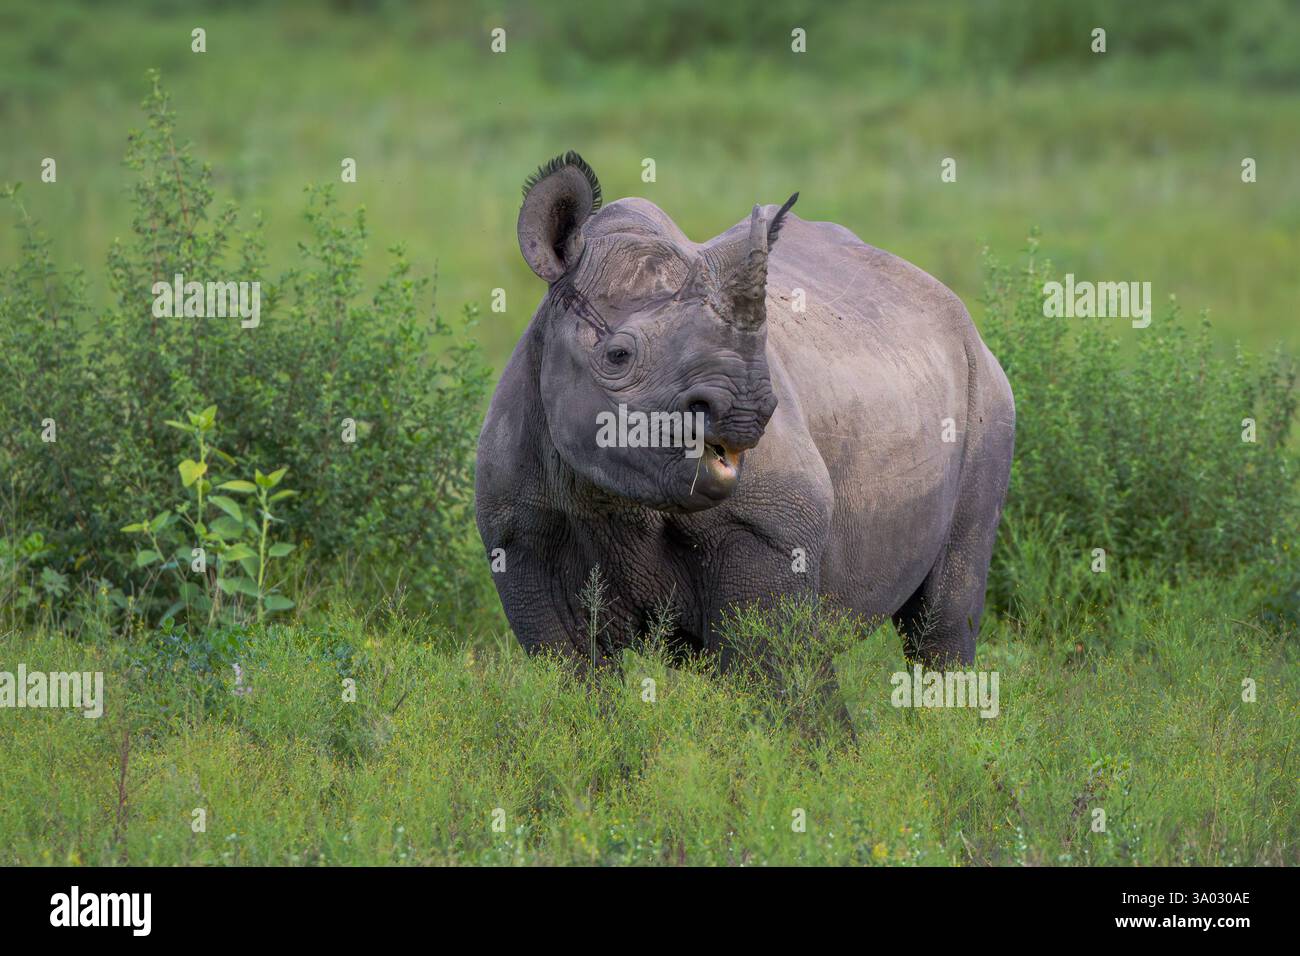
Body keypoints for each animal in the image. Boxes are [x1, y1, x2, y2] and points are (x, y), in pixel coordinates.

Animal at [476, 151, 1015, 687]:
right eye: (618, 356)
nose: (747, 406)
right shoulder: (520, 537)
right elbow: (575, 678)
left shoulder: (771, 528)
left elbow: (775, 673)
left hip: (985, 387)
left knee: (942, 618)